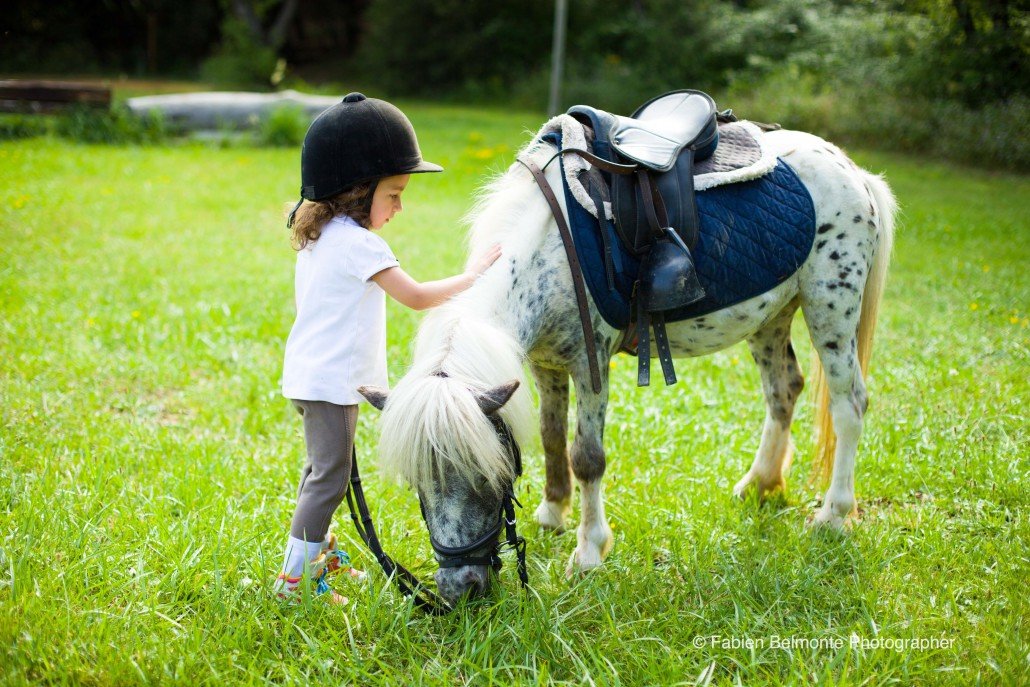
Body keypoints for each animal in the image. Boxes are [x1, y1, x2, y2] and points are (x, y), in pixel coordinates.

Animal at [358, 125, 896, 605]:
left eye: (485, 476)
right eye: (417, 482)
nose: (459, 591)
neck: (549, 249)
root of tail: (855, 172)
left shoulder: (590, 361)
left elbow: (586, 457)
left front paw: (588, 553)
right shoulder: (545, 365)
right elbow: (551, 436)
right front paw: (552, 512)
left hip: (831, 310)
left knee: (849, 406)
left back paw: (833, 515)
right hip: (772, 317)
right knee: (783, 390)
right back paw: (760, 483)